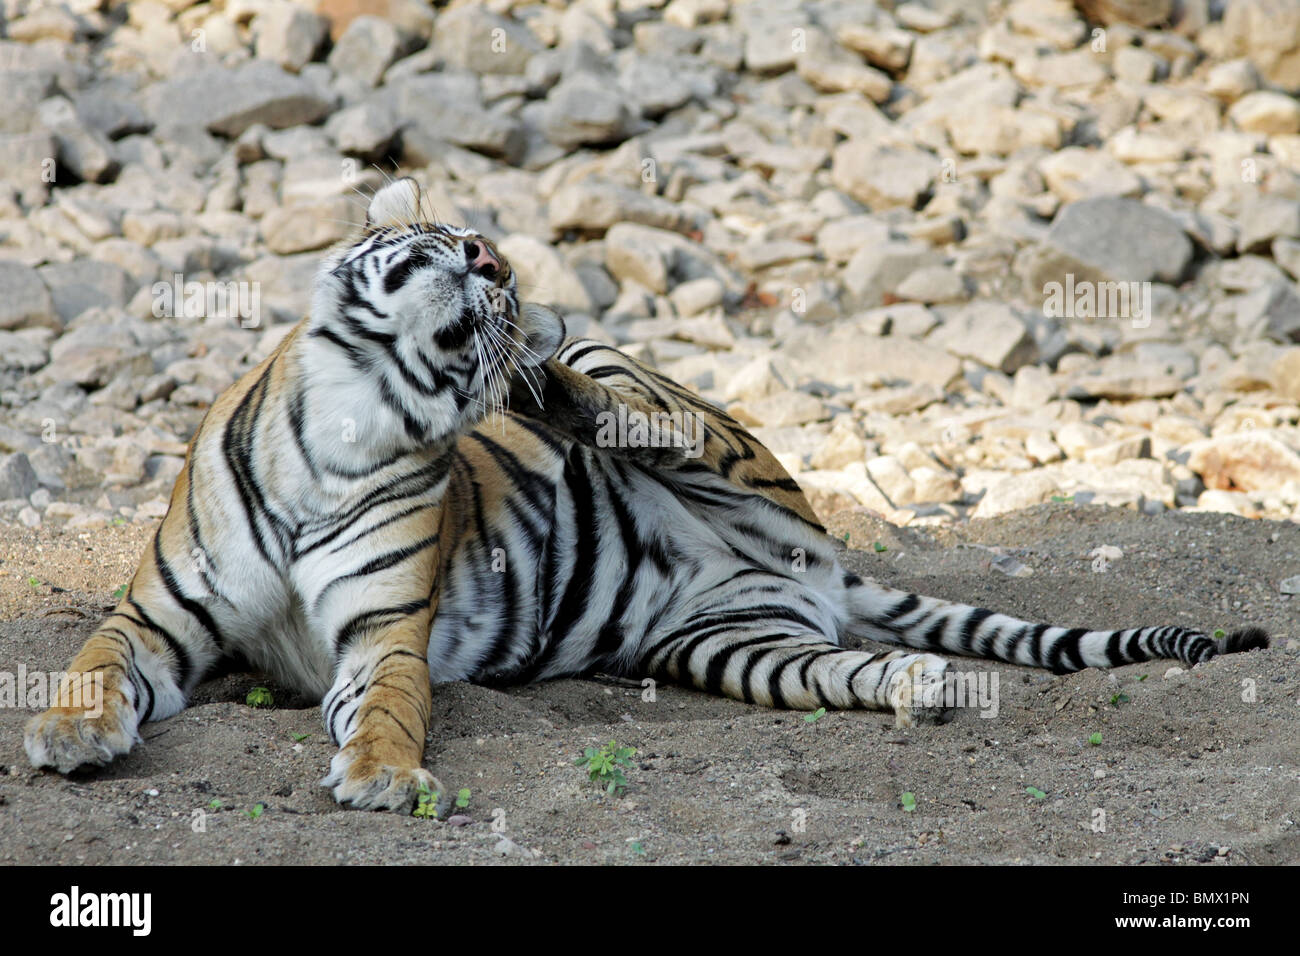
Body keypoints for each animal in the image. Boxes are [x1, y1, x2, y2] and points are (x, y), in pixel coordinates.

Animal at [24, 178, 1269, 811]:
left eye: (485, 256)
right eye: (445, 240)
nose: (496, 263)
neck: (356, 414)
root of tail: (817, 560)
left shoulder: (382, 633)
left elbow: (386, 704)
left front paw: (381, 776)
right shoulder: (157, 615)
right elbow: (94, 661)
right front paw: (67, 733)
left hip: (682, 418)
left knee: (651, 416)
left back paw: (552, 388)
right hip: (746, 646)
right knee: (856, 664)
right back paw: (924, 687)